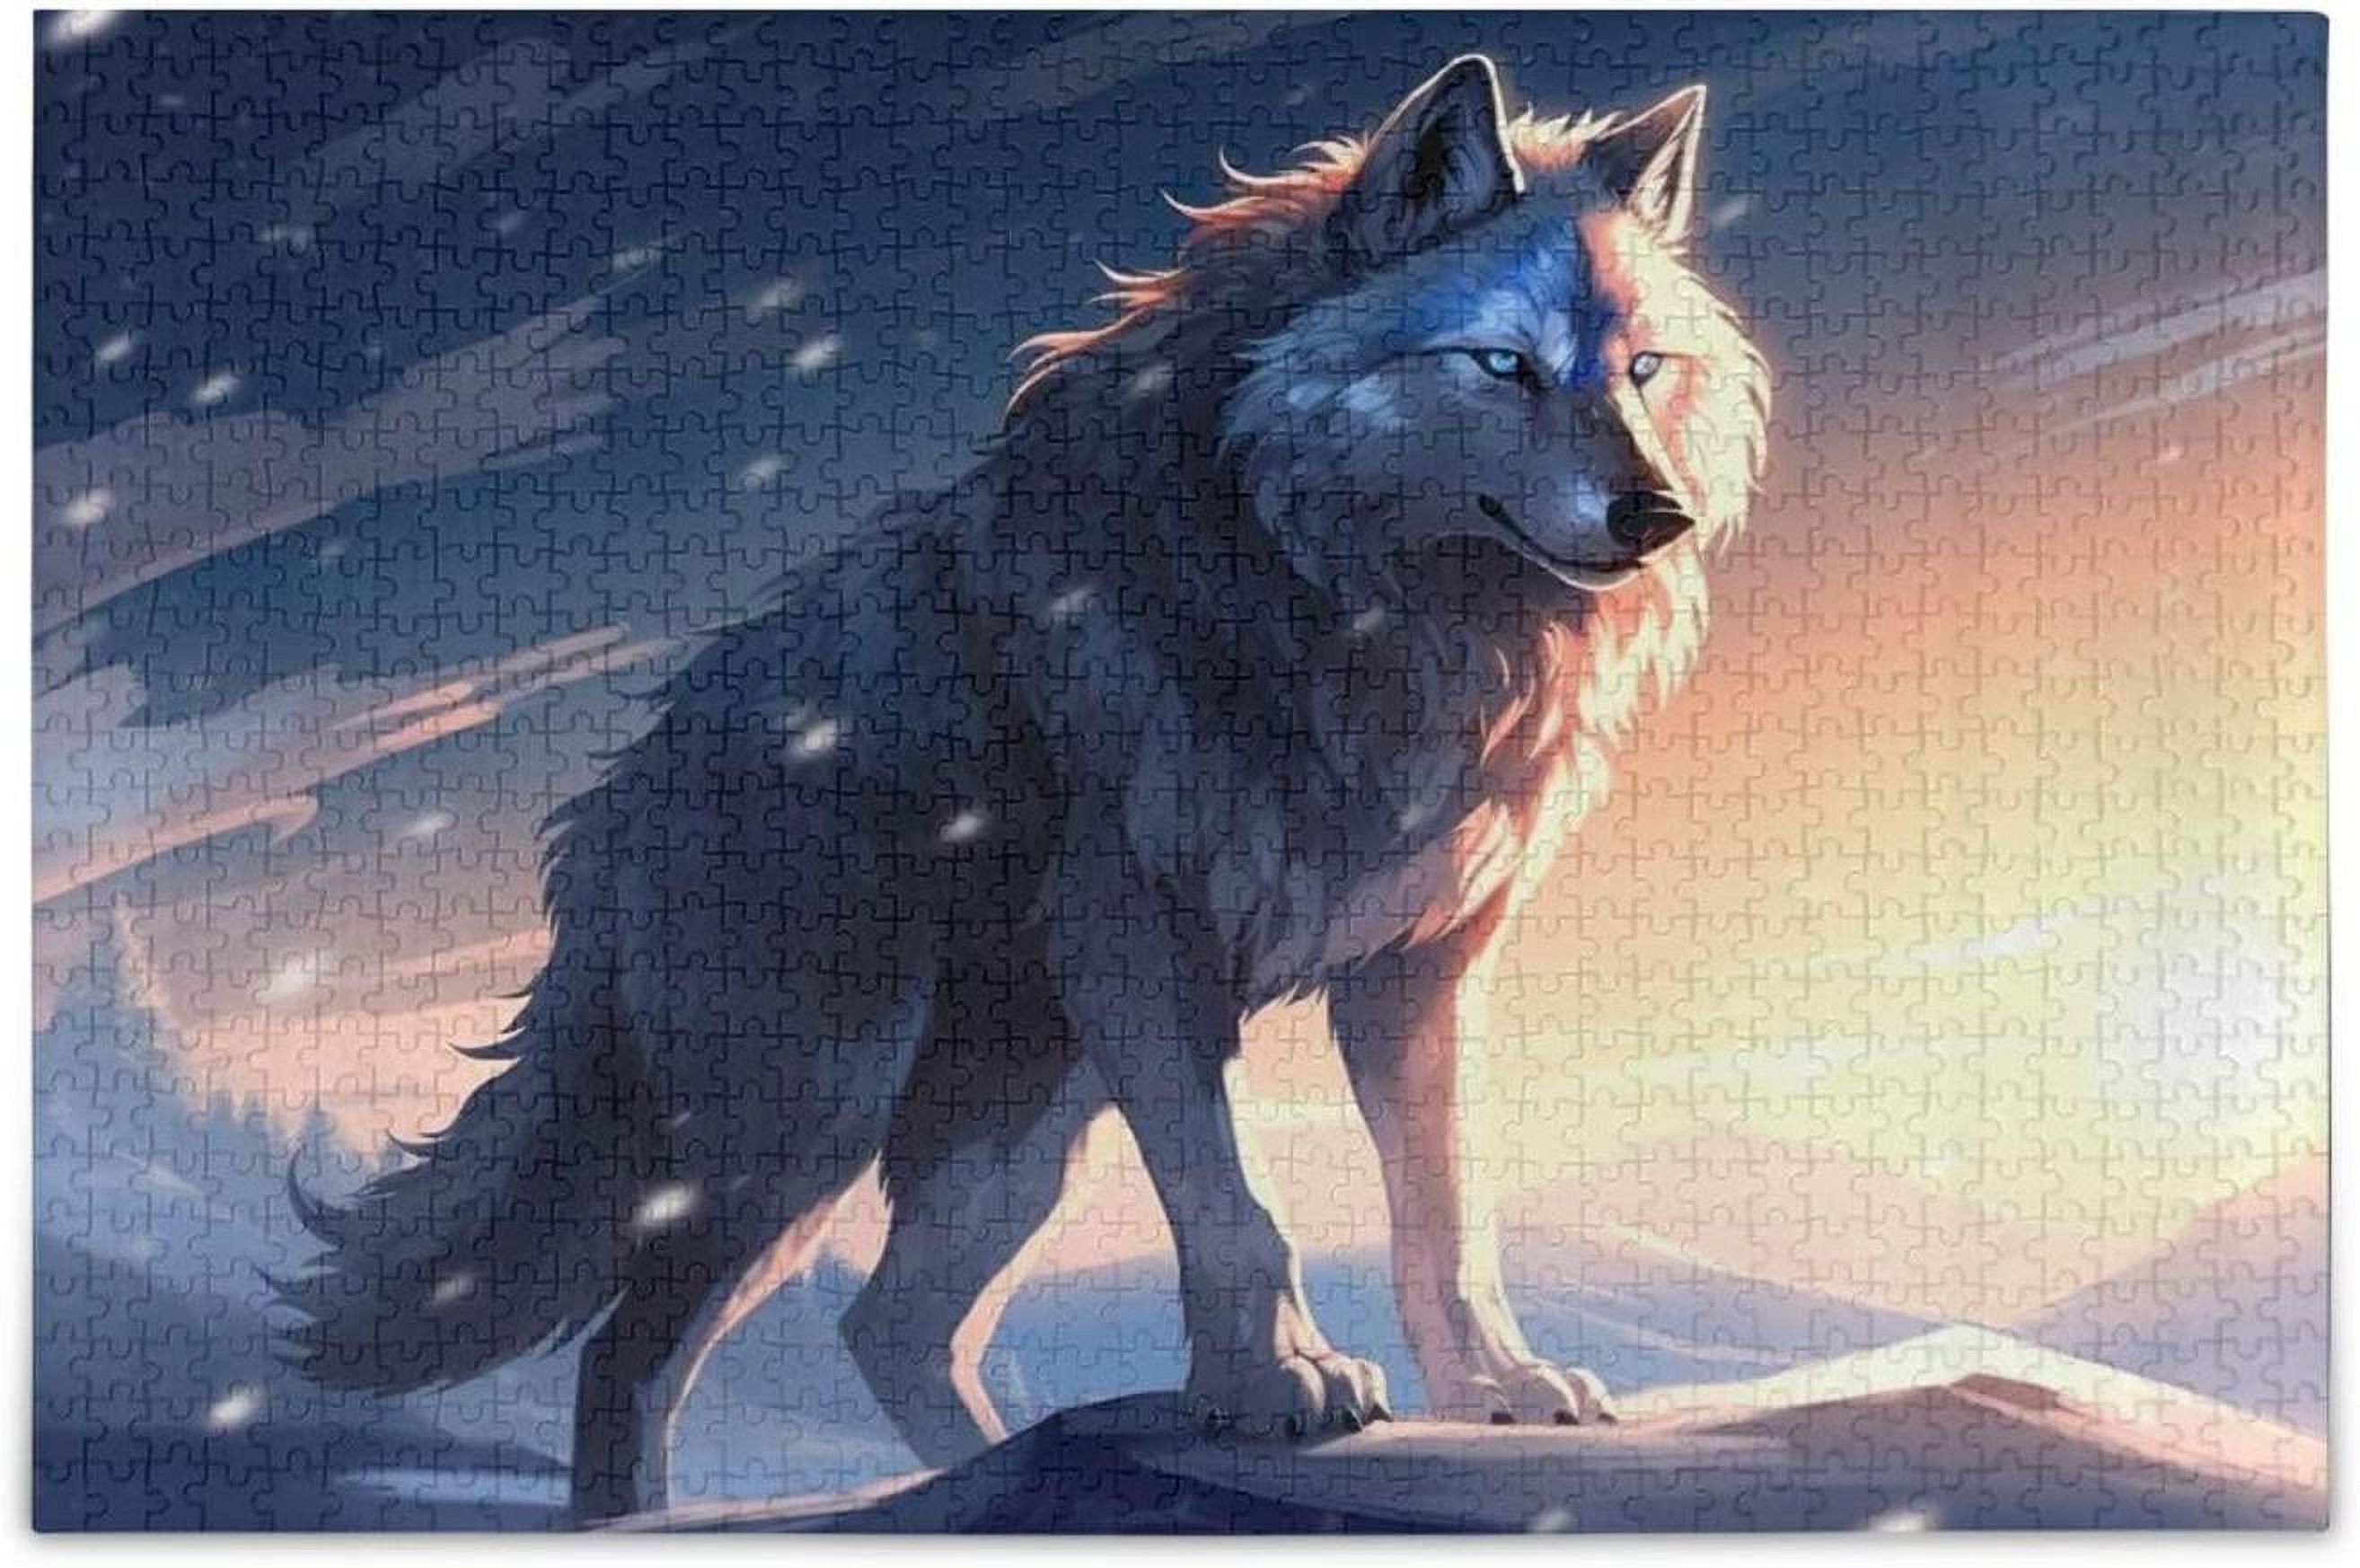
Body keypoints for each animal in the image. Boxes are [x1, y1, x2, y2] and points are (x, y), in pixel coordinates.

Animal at [280, 55, 1768, 1520]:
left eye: (1642, 369)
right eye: (1504, 363)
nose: (1657, 513)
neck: (1353, 604)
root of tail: (617, 799)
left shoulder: (1419, 969)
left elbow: (1446, 1212)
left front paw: (1494, 1387)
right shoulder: (1142, 946)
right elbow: (1237, 1209)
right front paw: (1278, 1382)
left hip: (1015, 1132)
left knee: (885, 1325)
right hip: (801, 1131)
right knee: (630, 1356)